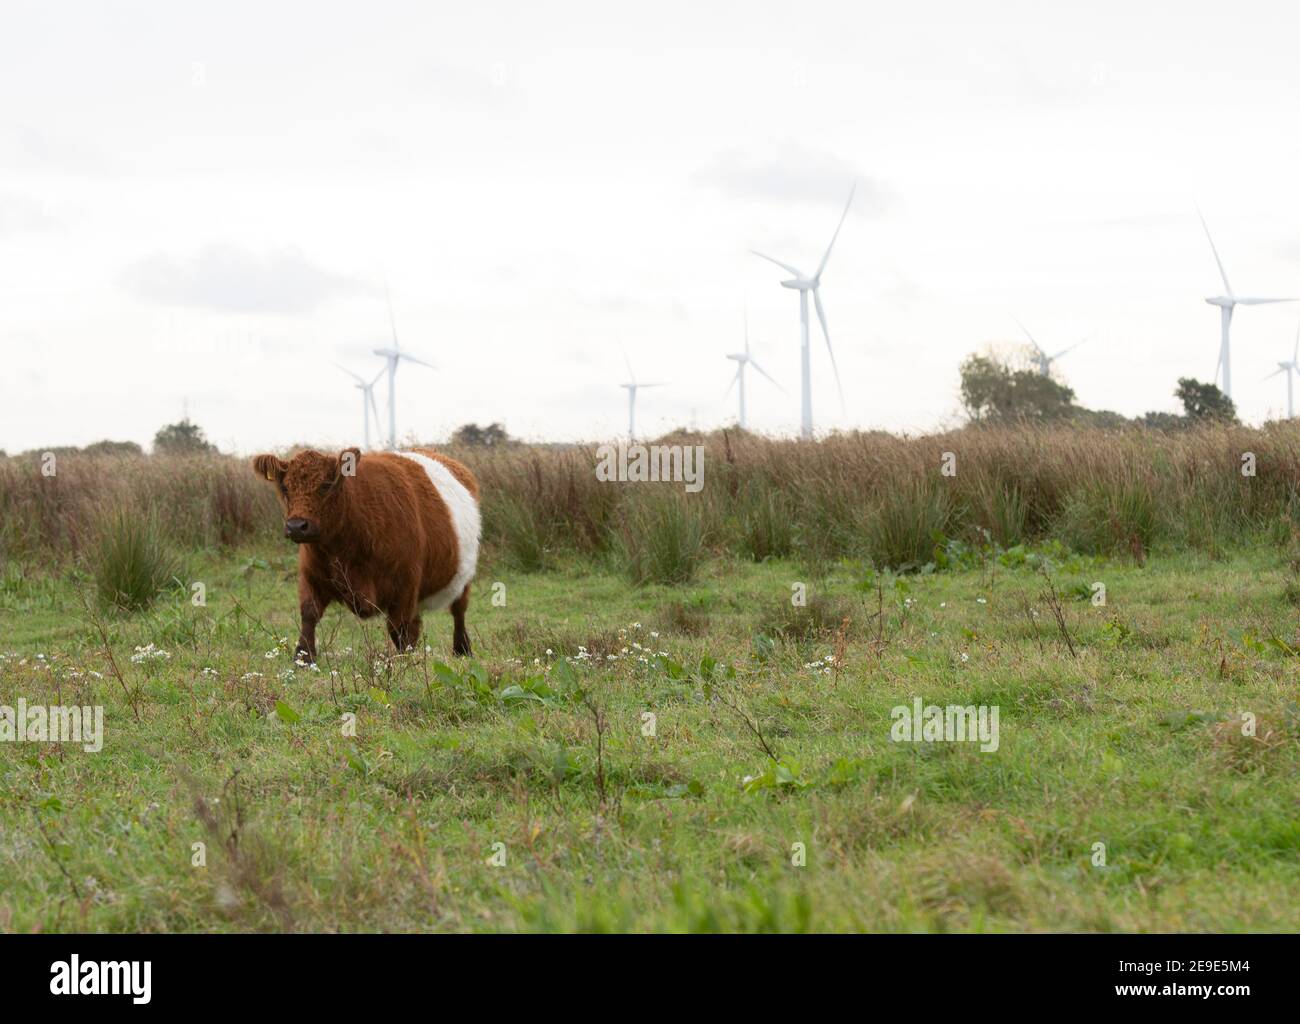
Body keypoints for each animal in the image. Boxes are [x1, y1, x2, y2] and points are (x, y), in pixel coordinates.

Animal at [252, 446, 480, 662]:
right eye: (285, 487)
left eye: (325, 485)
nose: (297, 526)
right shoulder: (311, 575)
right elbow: (309, 614)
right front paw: (304, 657)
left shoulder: (405, 583)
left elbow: (398, 627)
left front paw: (404, 664)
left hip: (464, 579)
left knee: (458, 612)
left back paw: (462, 649)